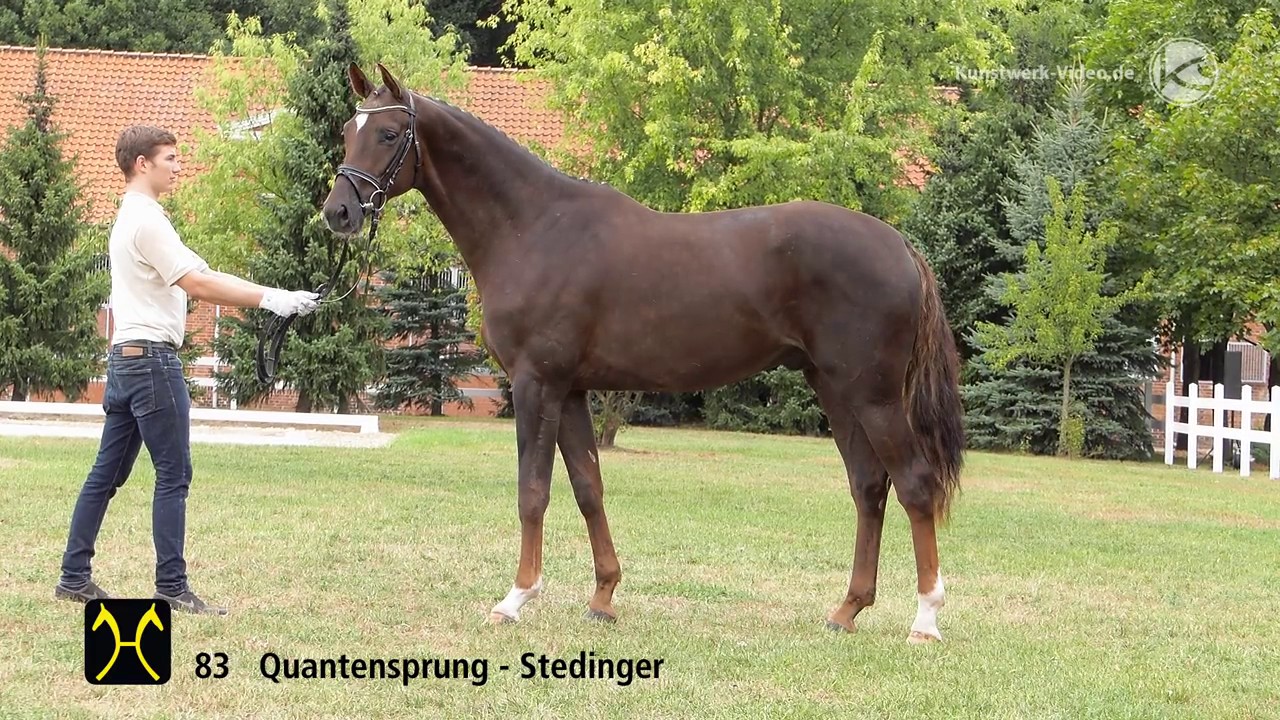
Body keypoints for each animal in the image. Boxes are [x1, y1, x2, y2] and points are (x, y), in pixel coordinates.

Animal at [321, 63, 965, 644]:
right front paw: (603, 597)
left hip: (873, 395)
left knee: (914, 484)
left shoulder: (537, 383)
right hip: (834, 387)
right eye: (348, 130)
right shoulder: (572, 390)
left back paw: (926, 620)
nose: (338, 213)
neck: (533, 227)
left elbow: (534, 492)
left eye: (387, 133)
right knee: (868, 487)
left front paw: (516, 598)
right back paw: (847, 610)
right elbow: (588, 487)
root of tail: (900, 246)